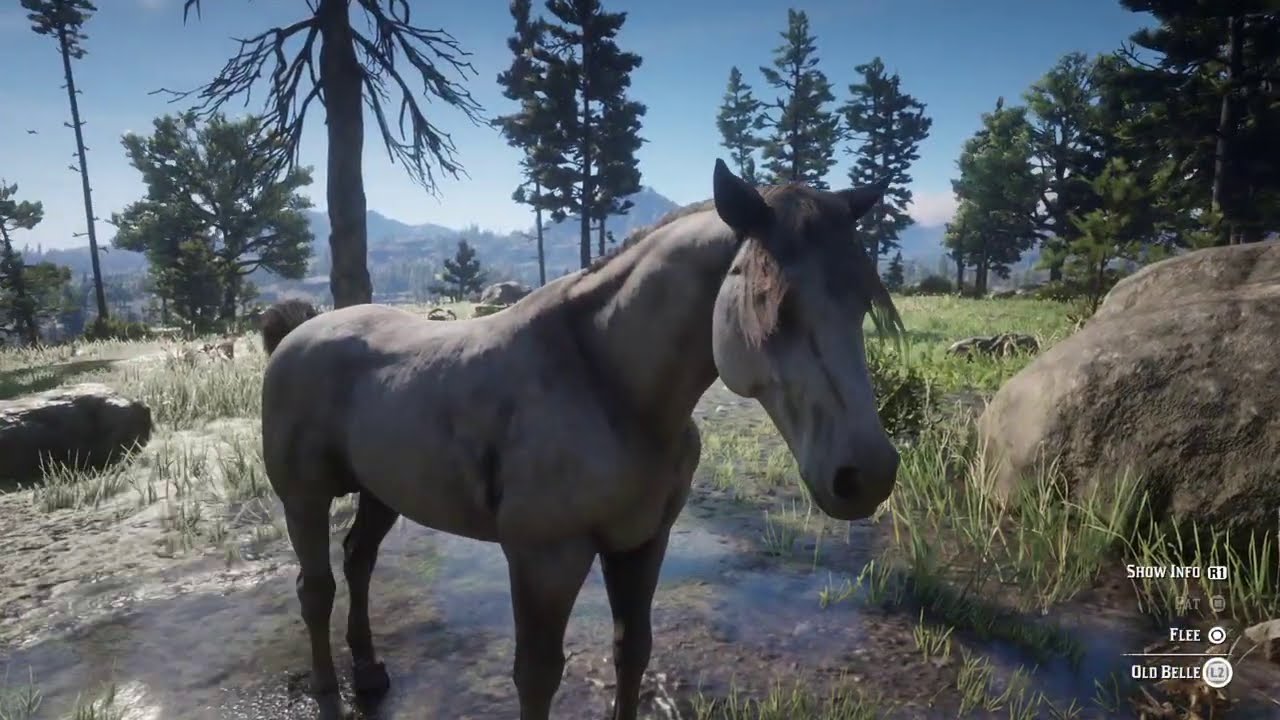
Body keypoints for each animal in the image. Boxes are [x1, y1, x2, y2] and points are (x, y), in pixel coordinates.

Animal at [258, 159, 904, 720]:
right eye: (774, 305)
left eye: (862, 302)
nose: (866, 475)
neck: (606, 383)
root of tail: (296, 334)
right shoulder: (546, 559)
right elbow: (537, 676)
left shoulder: (641, 542)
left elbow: (632, 650)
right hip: (303, 498)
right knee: (316, 588)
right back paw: (327, 691)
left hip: (381, 491)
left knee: (358, 560)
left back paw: (368, 671)